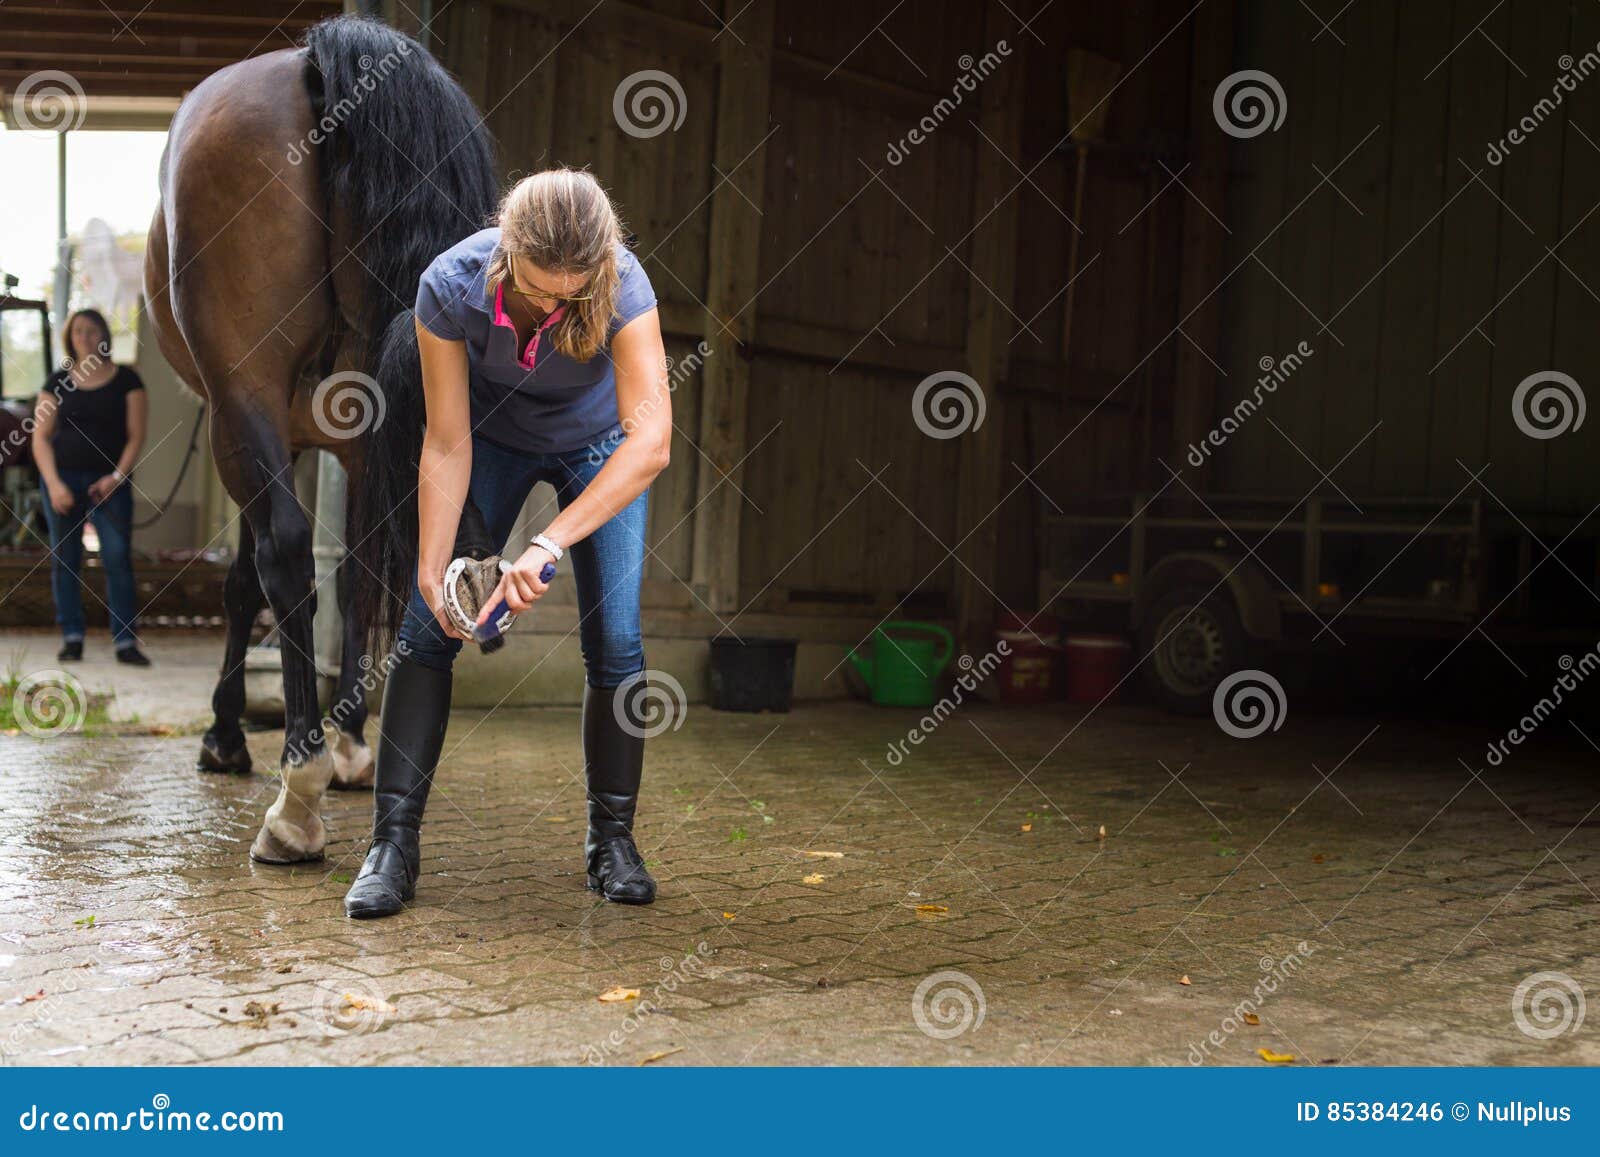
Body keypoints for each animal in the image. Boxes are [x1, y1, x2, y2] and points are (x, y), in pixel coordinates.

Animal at [143, 15, 497, 863]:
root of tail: (314, 59)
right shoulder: (340, 443)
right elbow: (349, 575)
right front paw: (347, 741)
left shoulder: (247, 427)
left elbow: (249, 579)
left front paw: (227, 735)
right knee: (375, 565)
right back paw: (341, 752)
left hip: (244, 399)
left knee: (288, 554)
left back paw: (295, 797)